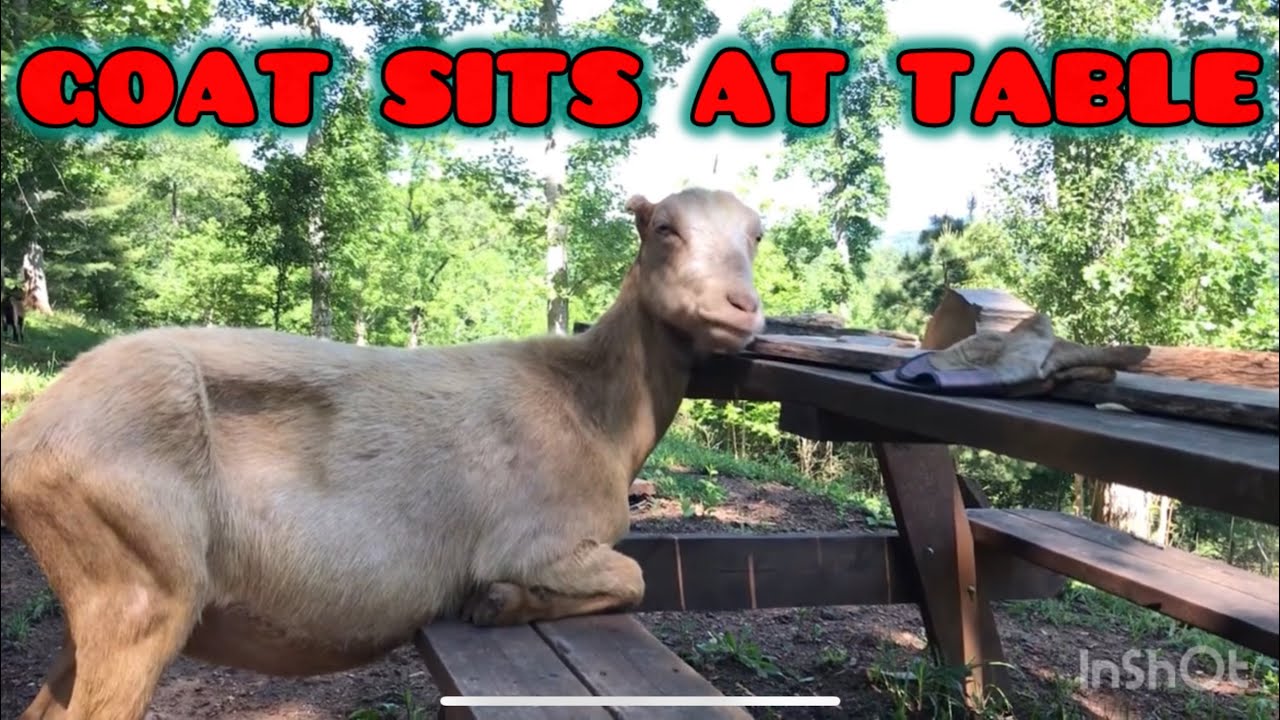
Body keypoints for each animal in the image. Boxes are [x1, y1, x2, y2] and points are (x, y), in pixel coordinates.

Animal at [0, 187, 767, 720]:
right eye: (664, 228)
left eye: (757, 234)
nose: (742, 307)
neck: (598, 416)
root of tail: (23, 440)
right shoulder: (536, 538)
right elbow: (634, 577)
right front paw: (497, 601)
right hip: (139, 584)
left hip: (100, 596)